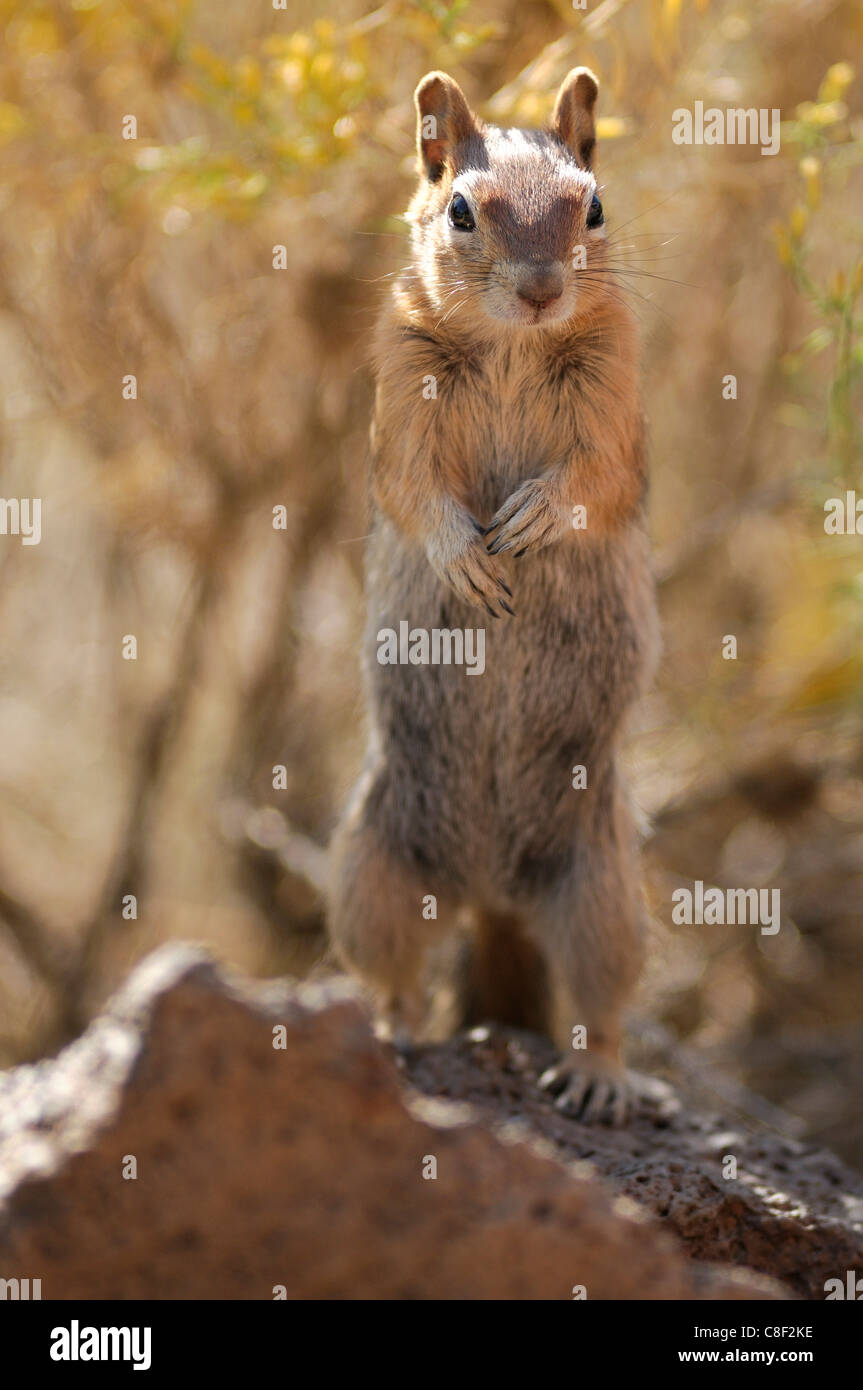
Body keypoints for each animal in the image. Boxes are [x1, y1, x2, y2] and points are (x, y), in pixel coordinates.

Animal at [329, 66, 661, 1124]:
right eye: (461, 211)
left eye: (592, 205)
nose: (543, 288)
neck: (513, 344)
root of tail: (489, 895)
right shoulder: (398, 384)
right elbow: (411, 487)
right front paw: (468, 560)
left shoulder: (616, 391)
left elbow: (595, 477)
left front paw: (532, 522)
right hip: (374, 872)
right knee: (393, 973)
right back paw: (391, 1035)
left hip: (603, 886)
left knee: (600, 995)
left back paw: (601, 1078)